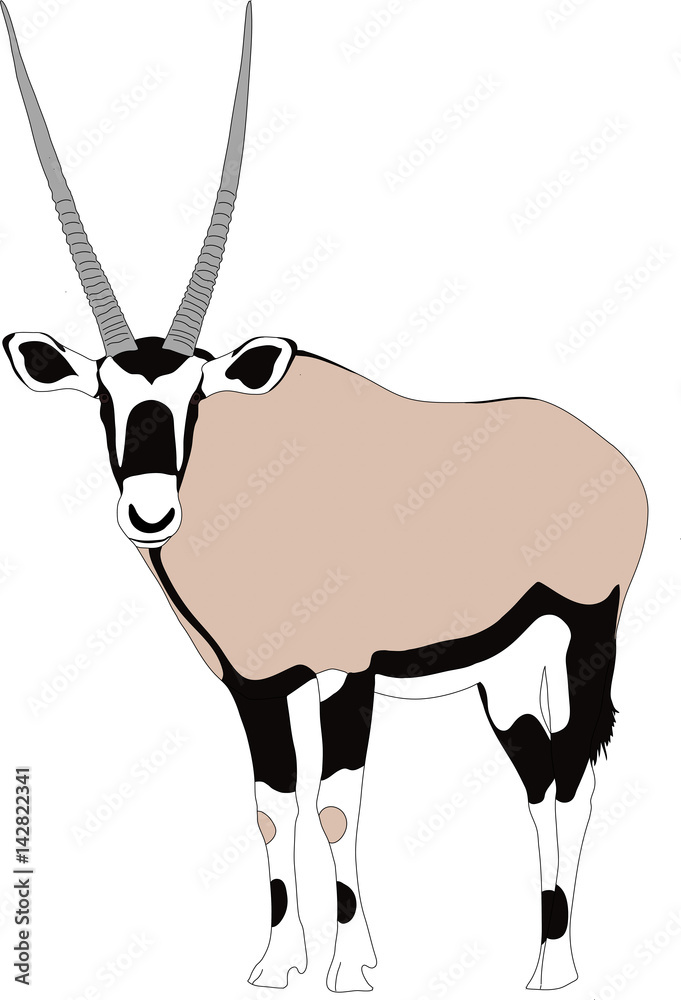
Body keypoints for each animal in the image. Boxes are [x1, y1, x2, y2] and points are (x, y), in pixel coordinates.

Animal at [2, 2, 647, 992]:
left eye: (194, 398)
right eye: (105, 398)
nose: (150, 513)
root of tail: (615, 463)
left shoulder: (349, 672)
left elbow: (338, 804)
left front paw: (346, 966)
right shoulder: (253, 686)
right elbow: (274, 804)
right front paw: (276, 962)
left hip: (586, 636)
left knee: (574, 778)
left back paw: (554, 964)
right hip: (504, 677)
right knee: (540, 776)